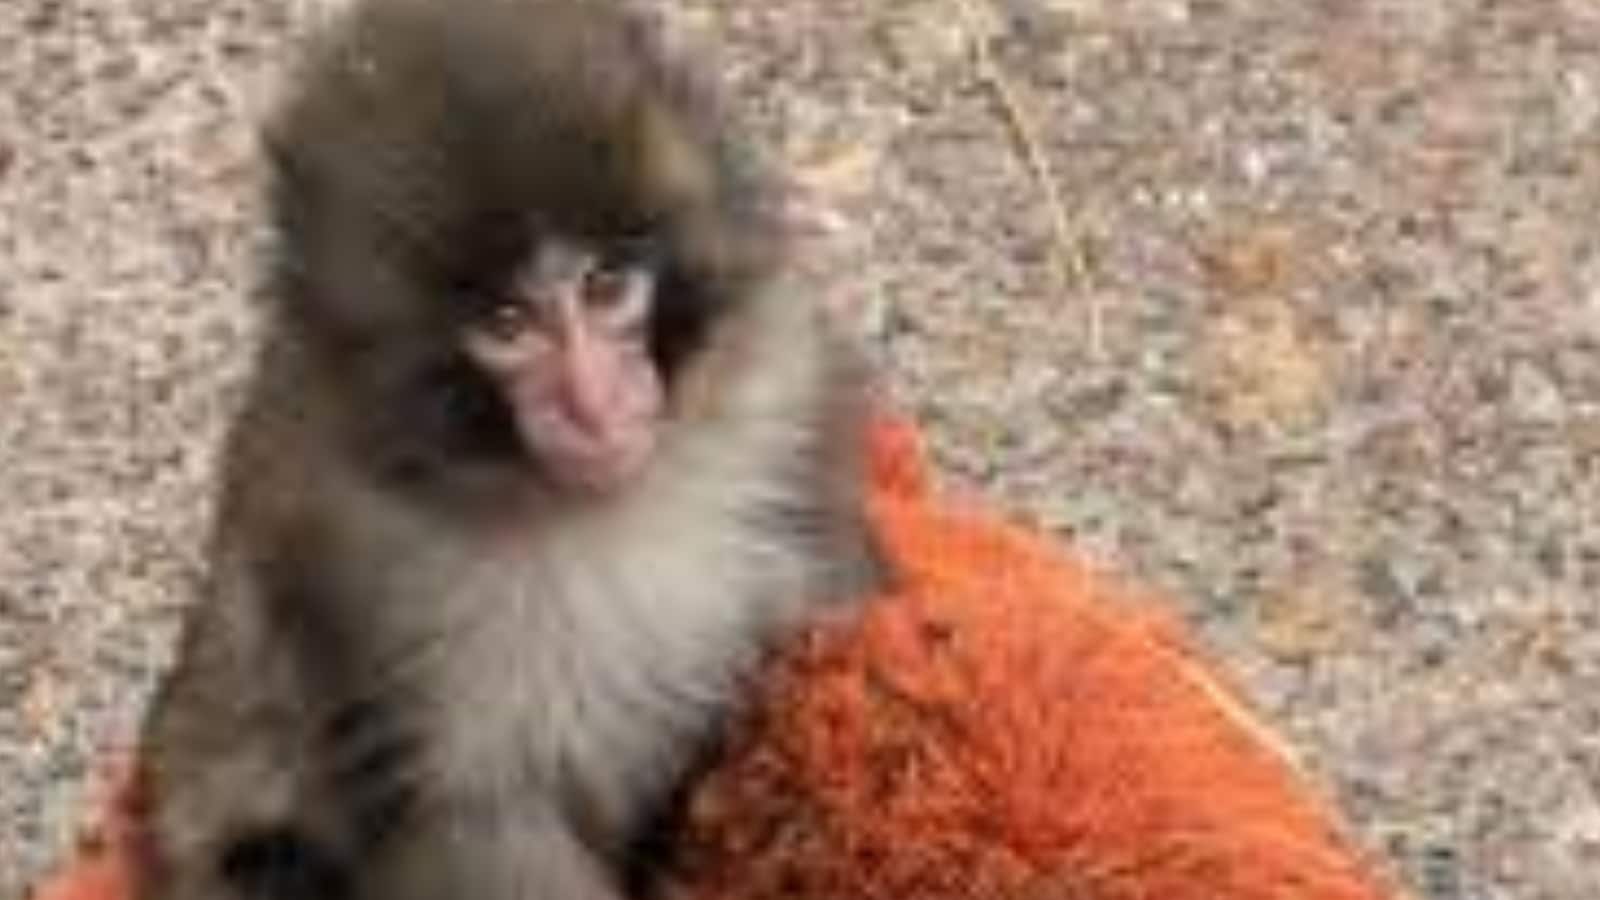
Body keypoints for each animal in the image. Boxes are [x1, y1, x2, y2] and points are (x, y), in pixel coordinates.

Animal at [135, 0, 883, 897]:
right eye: (508, 324)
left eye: (605, 286)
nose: (595, 404)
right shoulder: (357, 554)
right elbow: (475, 824)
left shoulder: (782, 399)